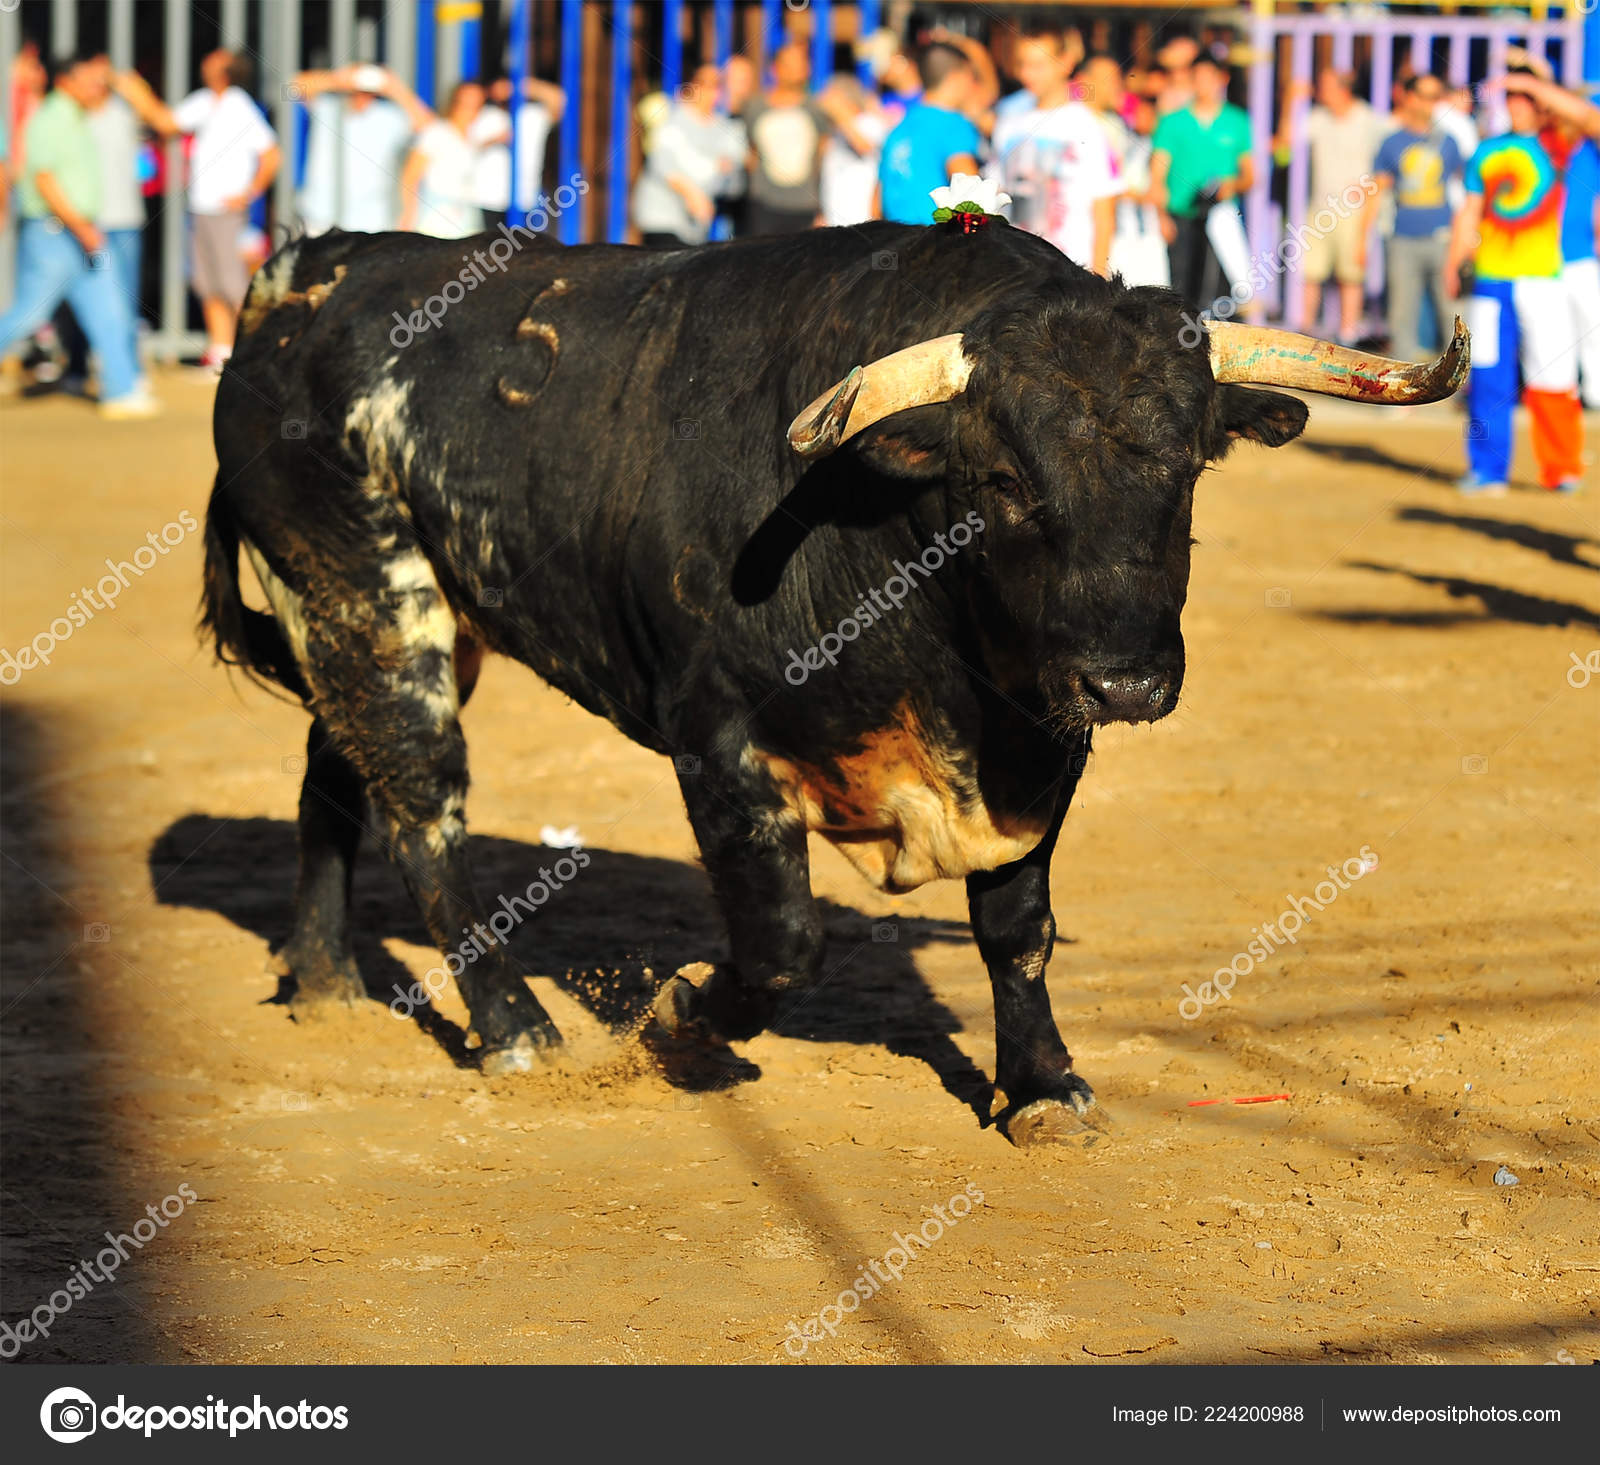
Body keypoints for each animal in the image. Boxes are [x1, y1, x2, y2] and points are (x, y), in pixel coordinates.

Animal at [201, 218, 1466, 1146]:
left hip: (364, 613)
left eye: (1191, 464)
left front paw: (1041, 1086)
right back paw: (513, 1026)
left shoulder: (1038, 751)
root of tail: (299, 276)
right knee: (423, 810)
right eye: (1004, 480)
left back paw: (321, 977)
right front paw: (682, 1020)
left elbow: (1018, 927)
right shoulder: (716, 745)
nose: (1127, 684)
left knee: (335, 774)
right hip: (375, 601)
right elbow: (780, 942)